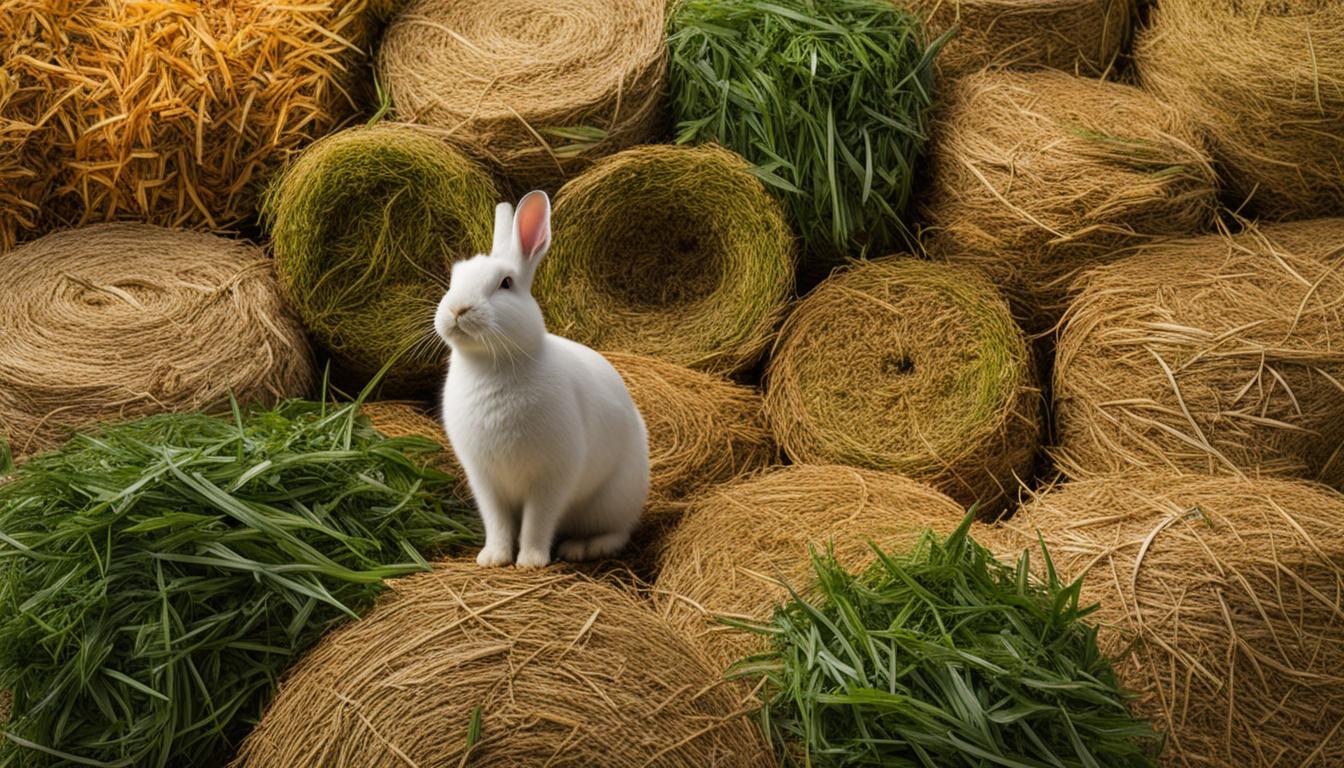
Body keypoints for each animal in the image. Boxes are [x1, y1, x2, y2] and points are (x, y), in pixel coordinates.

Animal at [435, 190, 649, 568]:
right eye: (454, 280)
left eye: (505, 283)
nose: (457, 309)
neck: (491, 365)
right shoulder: (485, 480)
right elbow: (498, 522)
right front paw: (492, 558)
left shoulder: (551, 478)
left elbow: (538, 521)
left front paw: (531, 561)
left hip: (612, 501)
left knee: (618, 532)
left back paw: (583, 548)